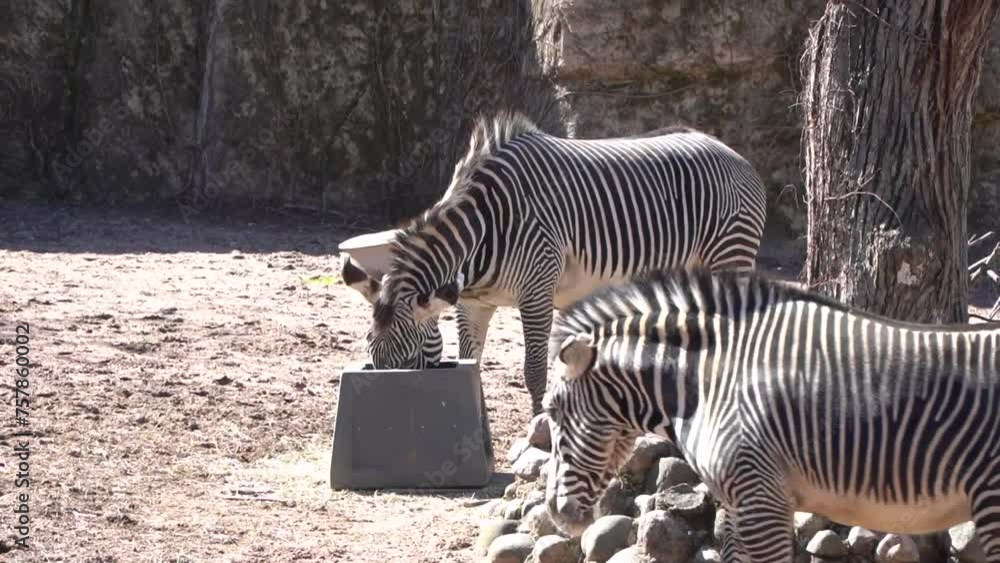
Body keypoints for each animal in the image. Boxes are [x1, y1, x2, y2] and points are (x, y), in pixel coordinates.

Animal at [364, 111, 768, 414]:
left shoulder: (537, 289)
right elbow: (471, 363)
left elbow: (534, 369)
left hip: (729, 253)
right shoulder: (472, 303)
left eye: (410, 358)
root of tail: (732, 153)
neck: (483, 225)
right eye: (370, 355)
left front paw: (536, 428)